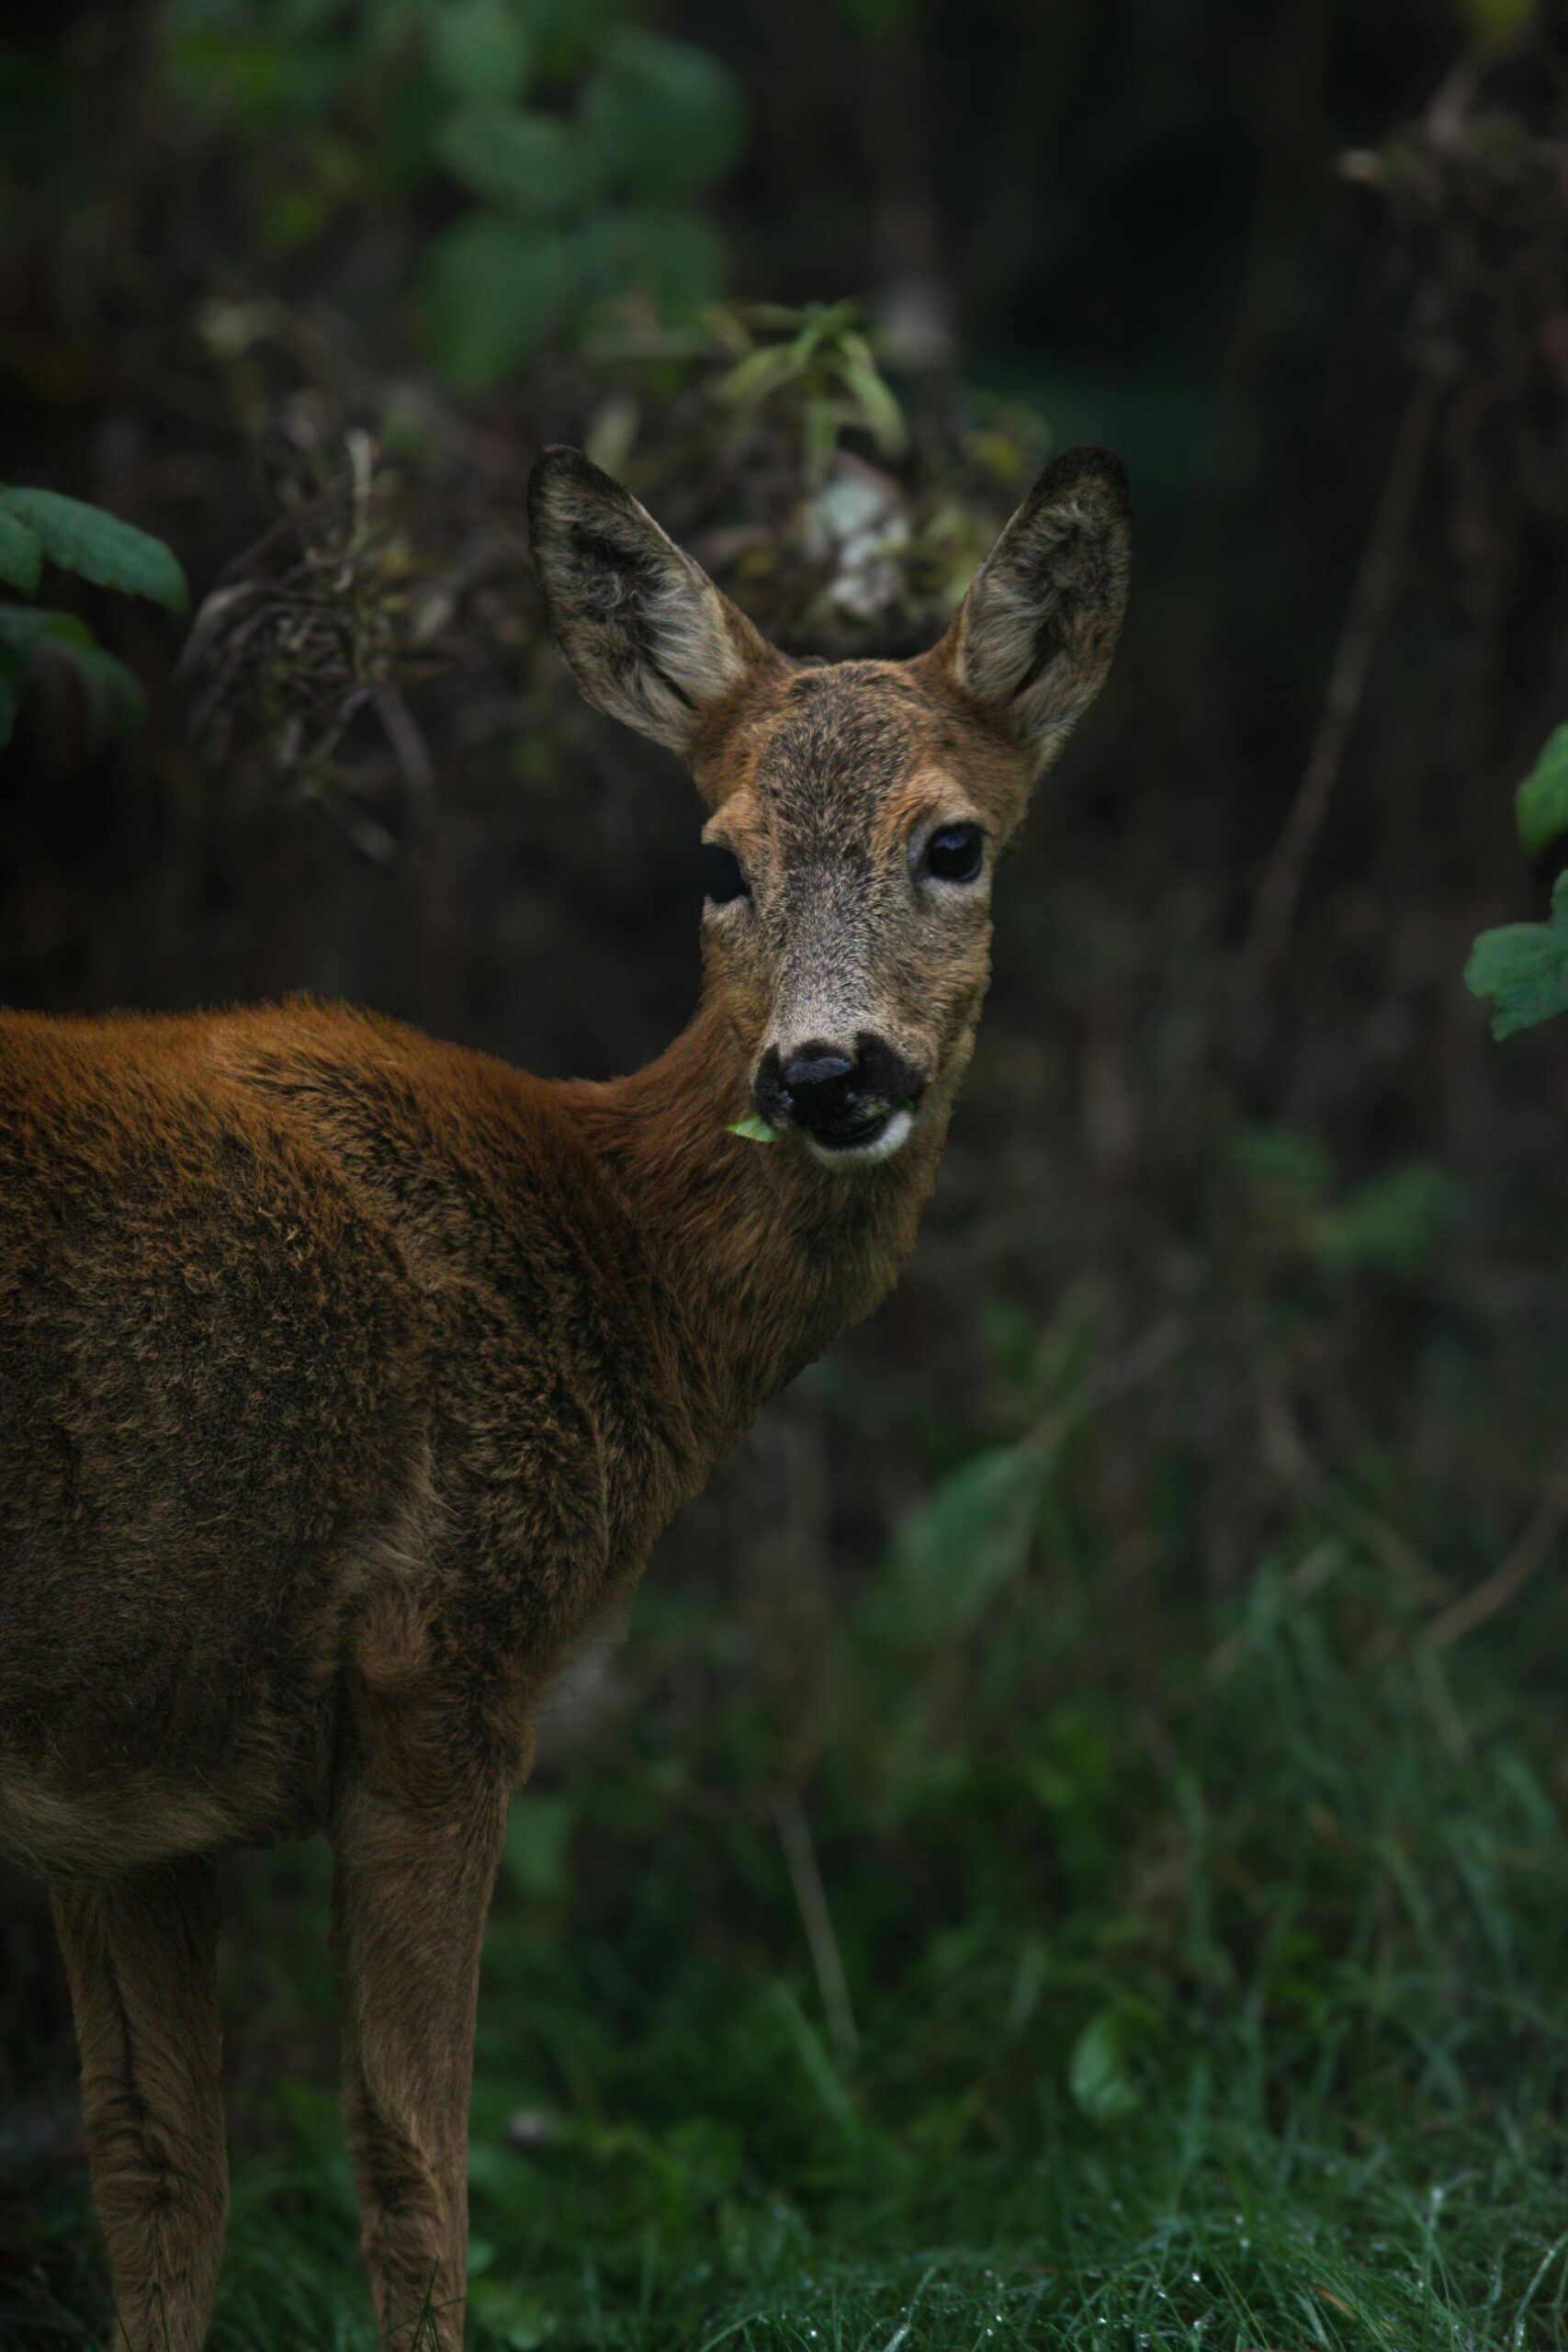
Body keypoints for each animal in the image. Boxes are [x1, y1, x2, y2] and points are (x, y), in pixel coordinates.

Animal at [0, 441, 1130, 2350]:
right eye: (718, 860)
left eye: (952, 843)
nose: (823, 1073)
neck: (608, 1254)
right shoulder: (443, 1664)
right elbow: (414, 2173)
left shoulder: (124, 1790)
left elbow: (157, 2185)